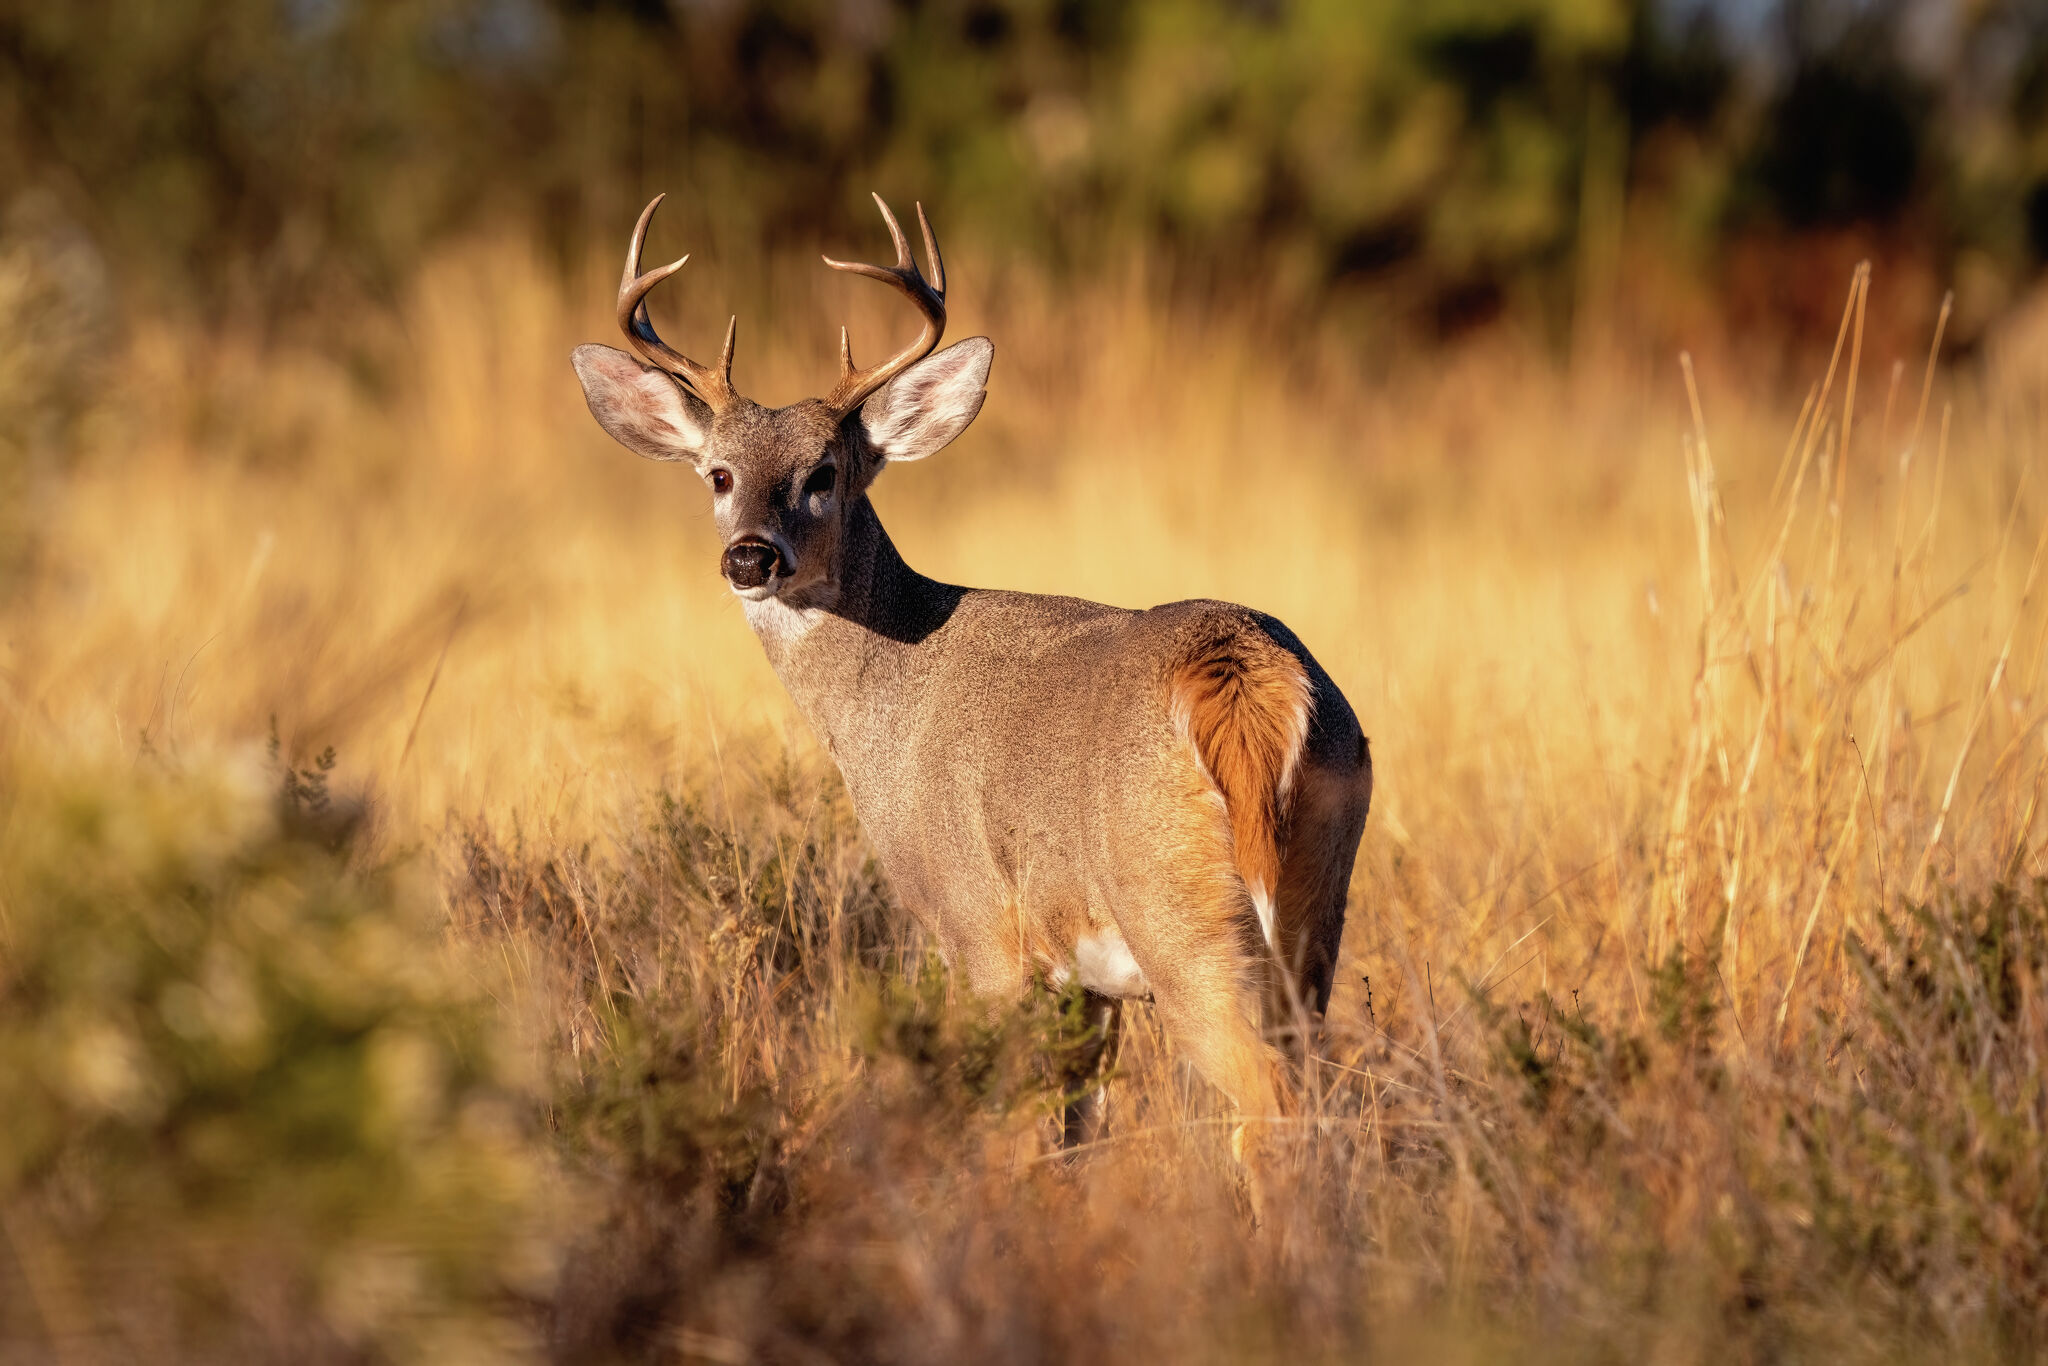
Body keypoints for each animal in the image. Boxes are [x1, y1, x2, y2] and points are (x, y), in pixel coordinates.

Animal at [570, 193, 1372, 1214]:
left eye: (824, 473)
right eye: (717, 473)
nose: (750, 556)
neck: (890, 694)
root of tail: (1242, 671)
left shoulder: (977, 927)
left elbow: (1010, 1137)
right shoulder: (1083, 981)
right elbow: (1075, 1136)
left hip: (1179, 920)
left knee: (1270, 1114)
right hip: (1315, 908)